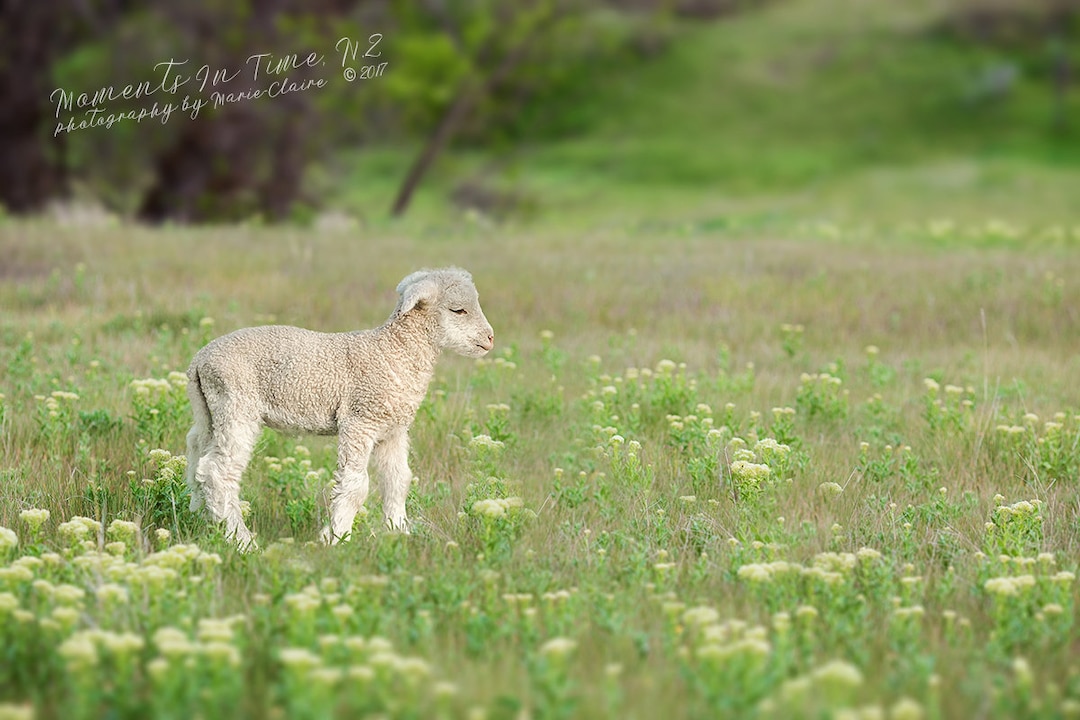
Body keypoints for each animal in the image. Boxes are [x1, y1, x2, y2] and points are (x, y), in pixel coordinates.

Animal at [183, 267, 495, 549]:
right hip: (236, 403)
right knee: (219, 472)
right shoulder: (360, 420)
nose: (490, 338)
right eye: (458, 310)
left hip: (209, 409)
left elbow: (398, 480)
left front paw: (399, 532)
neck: (394, 352)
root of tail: (199, 361)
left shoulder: (393, 429)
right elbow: (356, 485)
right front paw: (335, 537)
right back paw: (241, 540)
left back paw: (199, 514)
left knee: (196, 451)